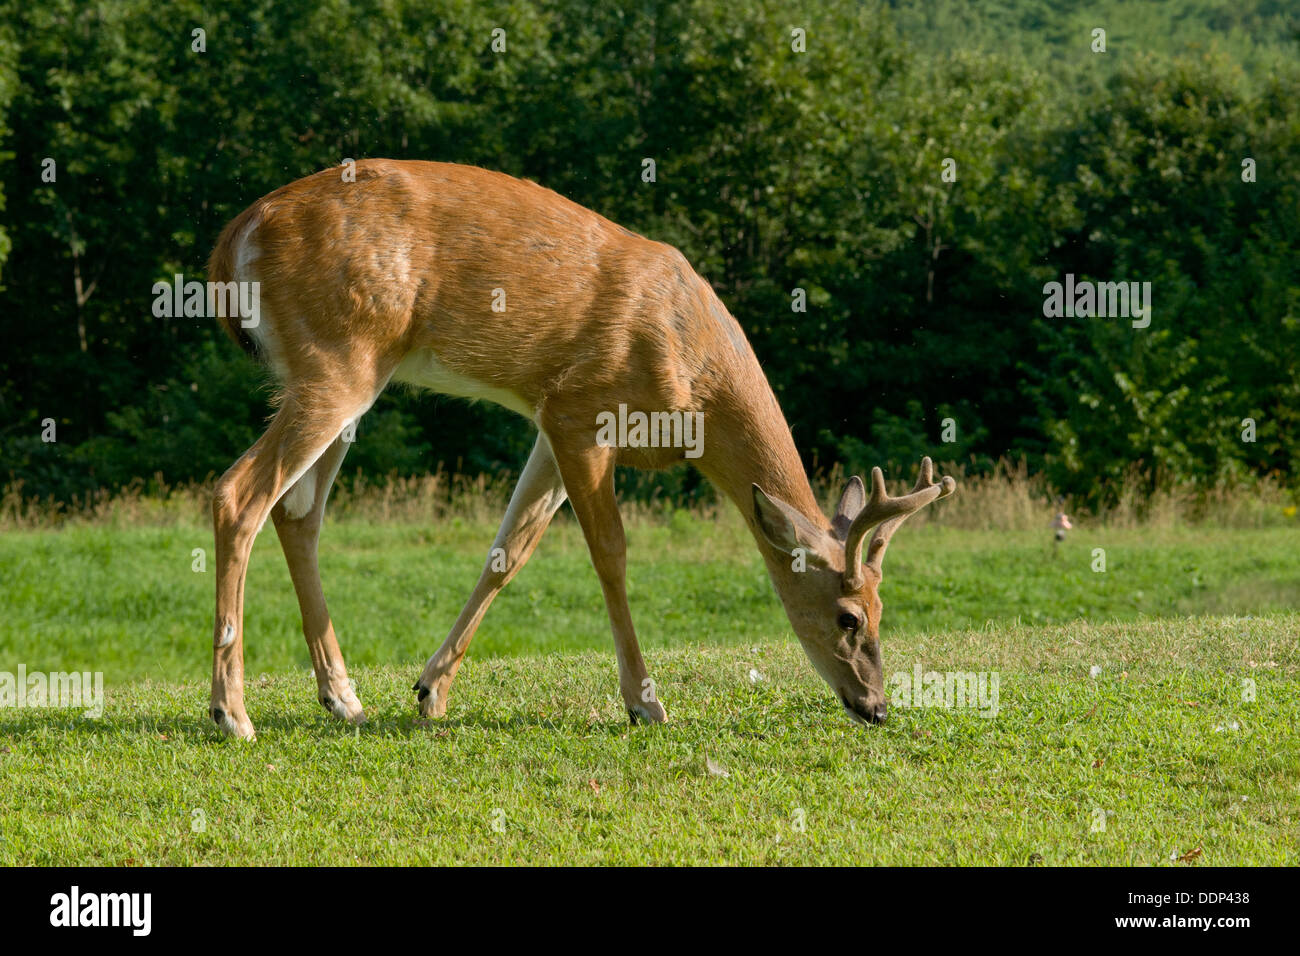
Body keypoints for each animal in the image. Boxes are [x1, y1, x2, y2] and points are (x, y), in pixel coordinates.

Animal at [204, 159, 956, 739]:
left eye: (884, 612)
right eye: (848, 615)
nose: (876, 706)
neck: (698, 384)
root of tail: (232, 239)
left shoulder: (548, 420)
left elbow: (509, 551)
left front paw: (431, 690)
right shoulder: (580, 411)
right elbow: (611, 556)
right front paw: (646, 703)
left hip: (350, 379)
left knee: (297, 512)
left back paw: (343, 698)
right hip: (338, 359)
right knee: (238, 493)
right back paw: (232, 713)